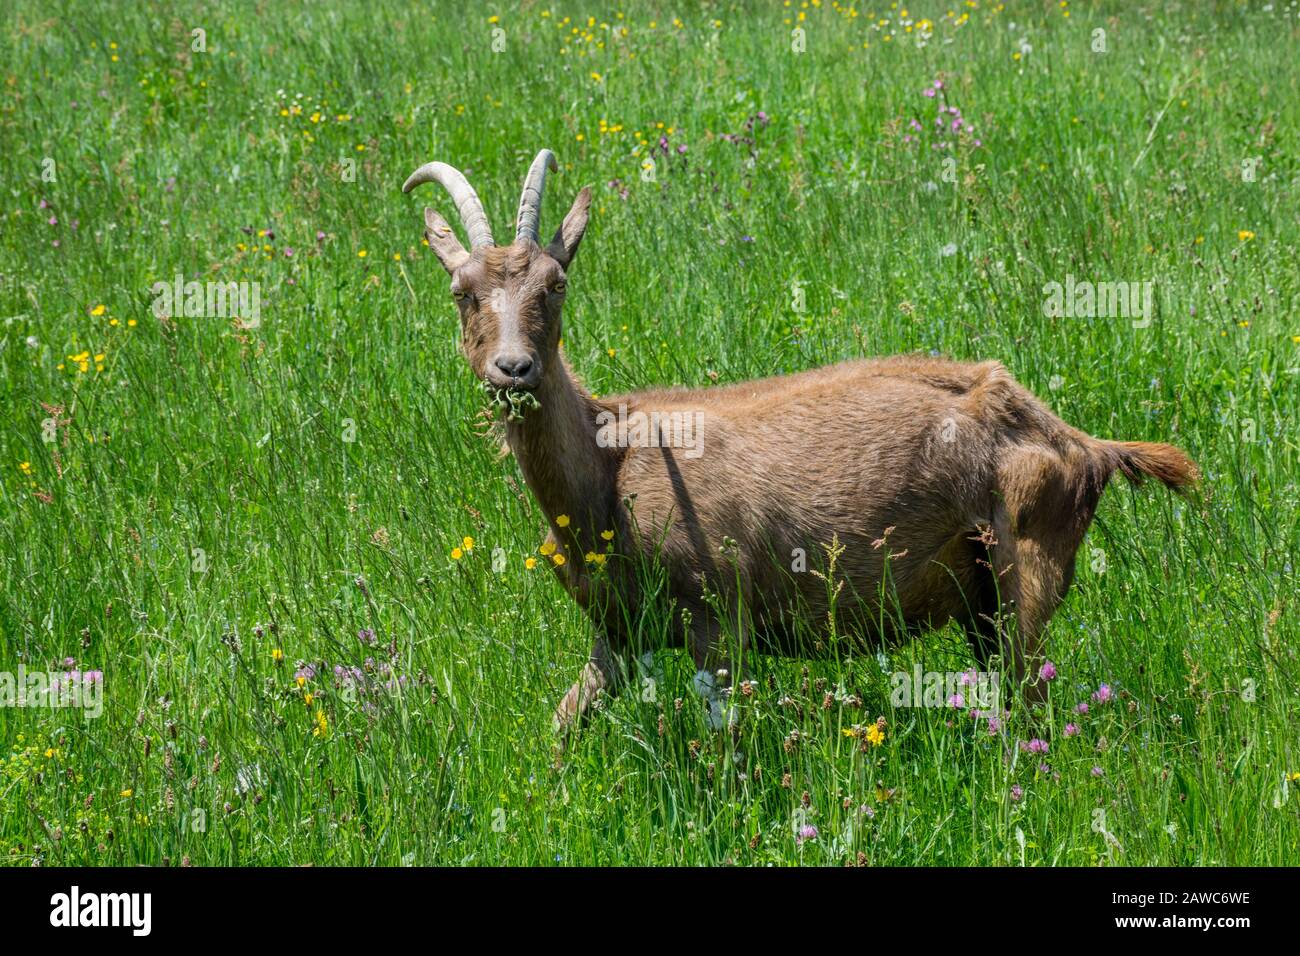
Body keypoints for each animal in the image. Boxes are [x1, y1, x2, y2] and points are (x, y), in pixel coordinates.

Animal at [403, 150, 1197, 738]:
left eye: (557, 283)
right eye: (461, 292)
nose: (514, 369)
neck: (608, 462)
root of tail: (1077, 442)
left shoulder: (717, 619)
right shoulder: (619, 634)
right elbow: (564, 728)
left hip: (1025, 565)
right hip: (980, 598)